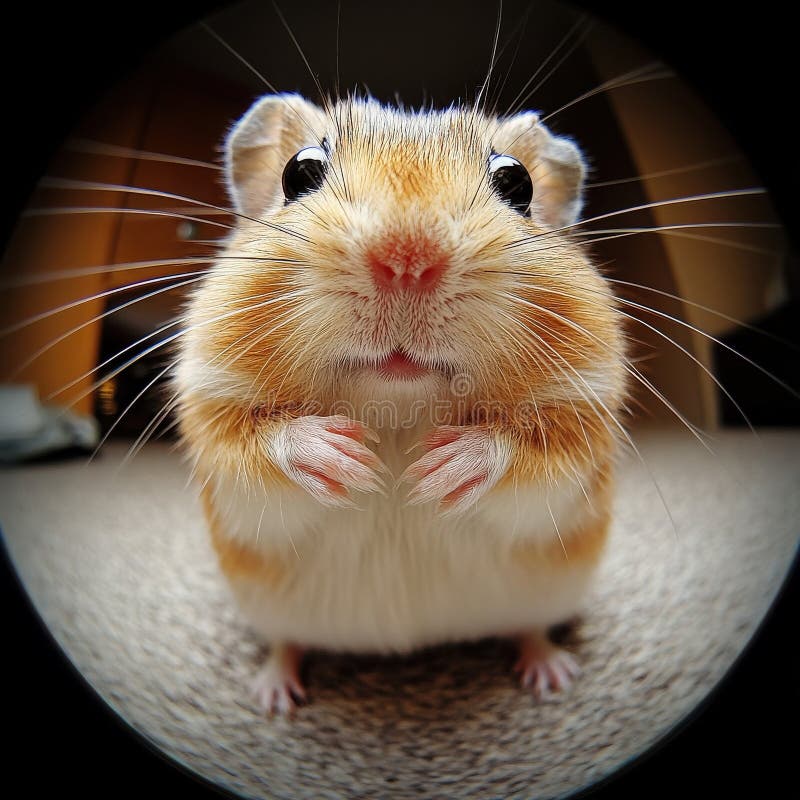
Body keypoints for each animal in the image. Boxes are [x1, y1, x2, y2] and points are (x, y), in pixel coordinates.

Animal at [174, 93, 627, 715]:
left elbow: (527, 454)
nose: (408, 259)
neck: (397, 403)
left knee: (529, 629)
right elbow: (262, 443)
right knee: (286, 643)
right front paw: (353, 461)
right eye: (299, 172)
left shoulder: (581, 415)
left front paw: (433, 472)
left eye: (517, 182)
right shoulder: (214, 408)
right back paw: (274, 696)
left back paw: (552, 675)